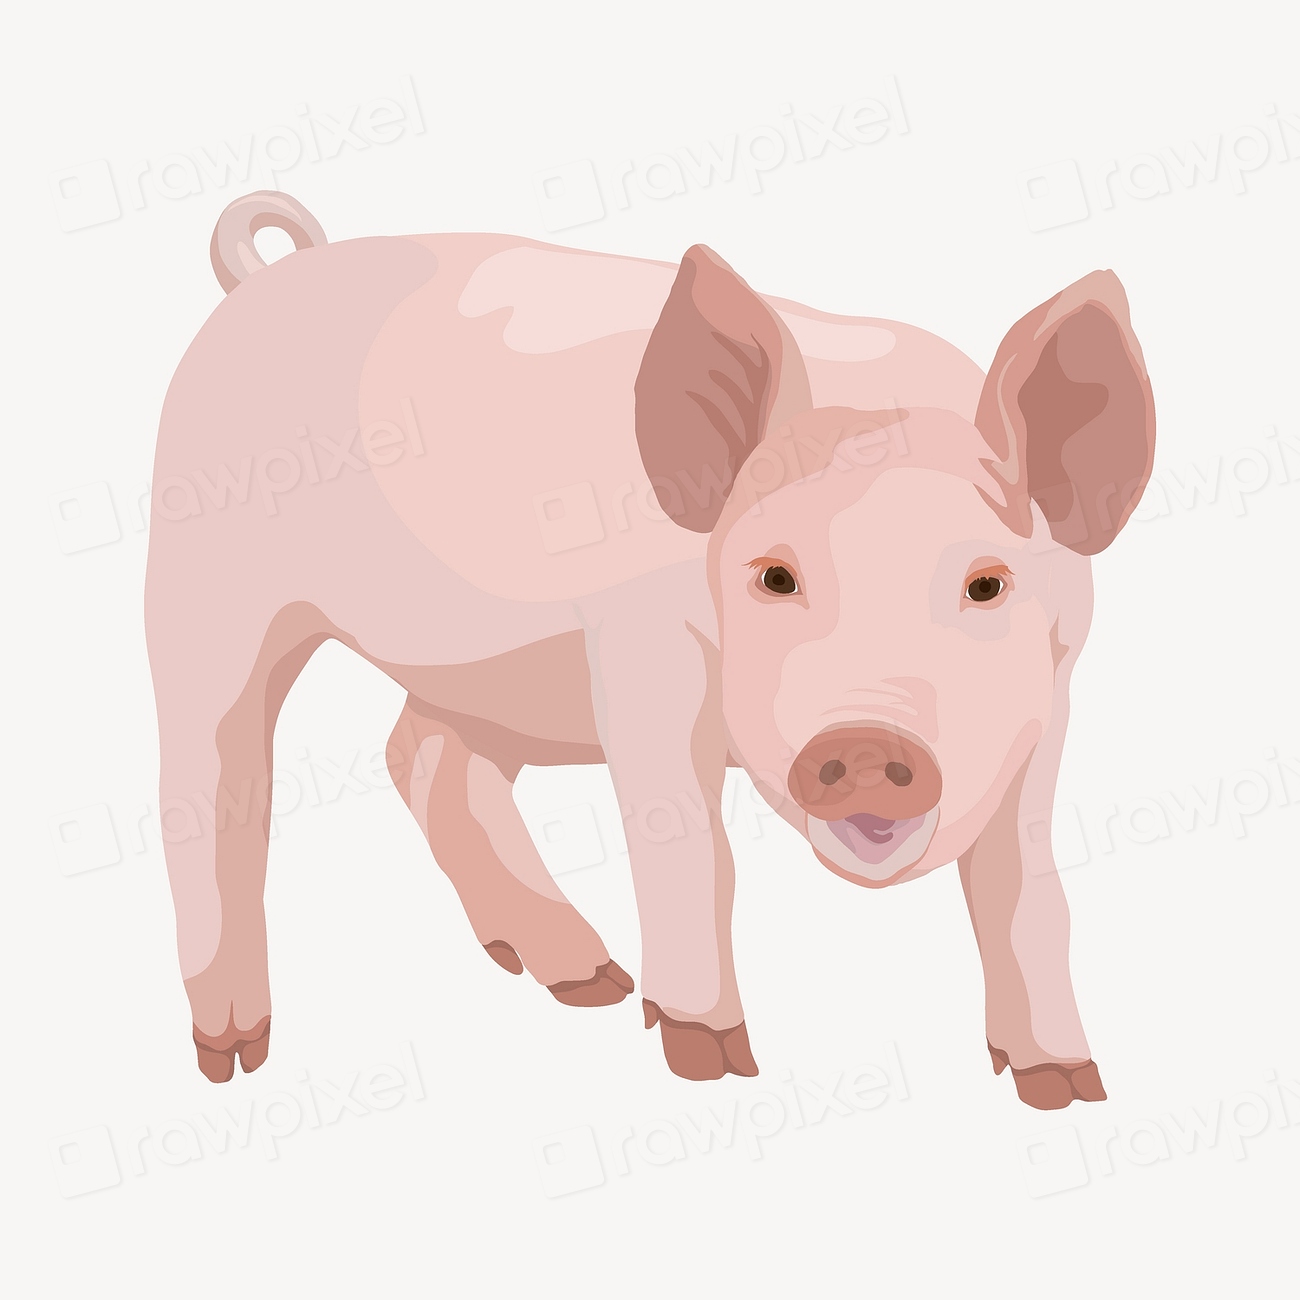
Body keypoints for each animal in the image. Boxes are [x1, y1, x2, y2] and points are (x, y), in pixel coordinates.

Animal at [146, 189, 1154, 1109]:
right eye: (774, 576)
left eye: (988, 584)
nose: (865, 745)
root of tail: (273, 273)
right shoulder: (638, 655)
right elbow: (693, 847)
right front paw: (712, 1062)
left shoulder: (1052, 699)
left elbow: (1027, 889)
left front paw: (1069, 1086)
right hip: (203, 582)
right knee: (211, 784)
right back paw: (233, 1056)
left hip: (495, 674)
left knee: (422, 753)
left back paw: (587, 983)